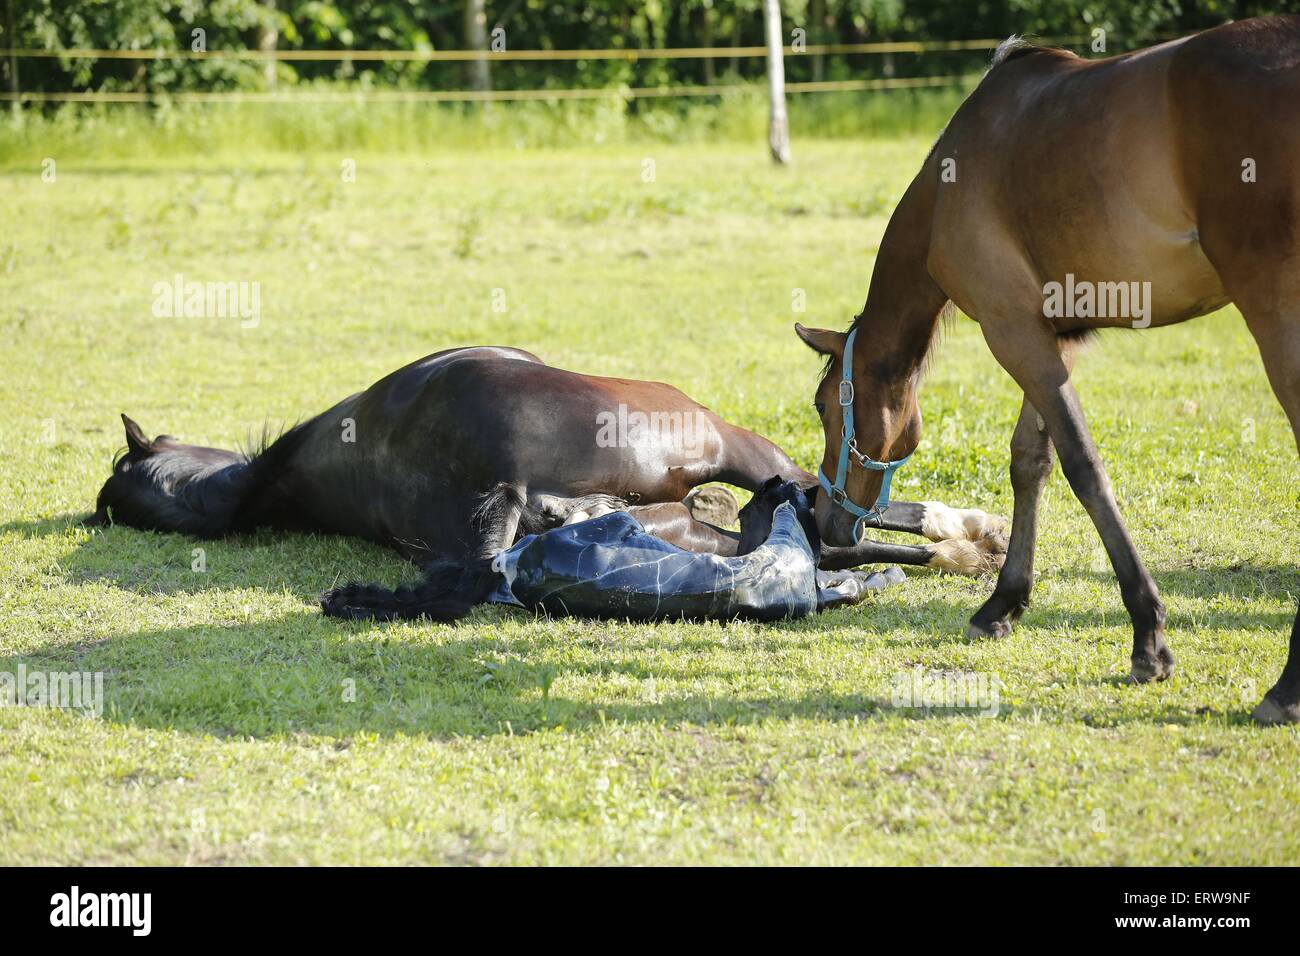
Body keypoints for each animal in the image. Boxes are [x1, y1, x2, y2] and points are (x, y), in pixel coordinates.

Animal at [795, 14, 1300, 723]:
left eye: (824, 407)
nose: (825, 522)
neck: (949, 184)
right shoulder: (1049, 338)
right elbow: (1030, 461)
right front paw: (1004, 603)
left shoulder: (1013, 332)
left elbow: (1082, 465)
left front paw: (1147, 635)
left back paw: (1287, 687)